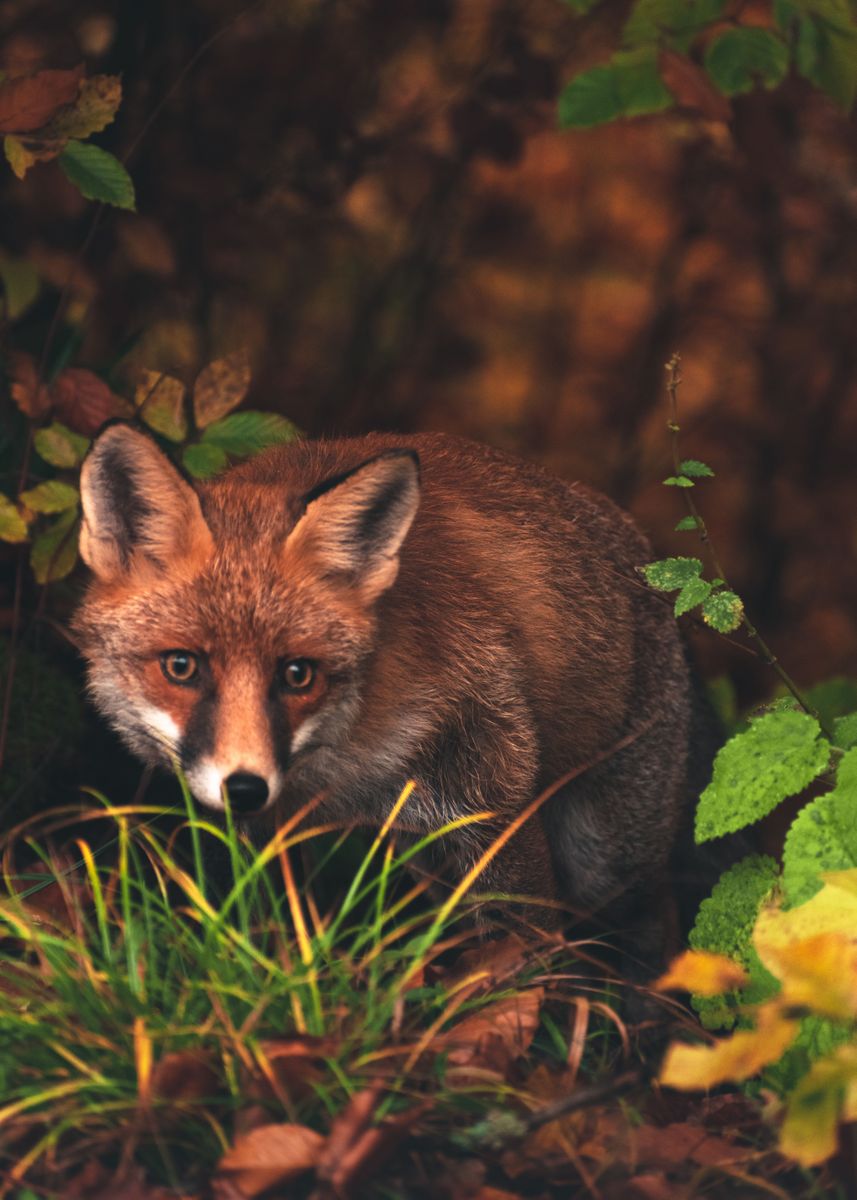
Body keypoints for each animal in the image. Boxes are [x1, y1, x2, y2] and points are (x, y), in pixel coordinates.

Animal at [73, 423, 712, 960]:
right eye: (181, 667)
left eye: (298, 674)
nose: (246, 787)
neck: (346, 762)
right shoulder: (261, 835)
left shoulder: (494, 798)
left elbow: (525, 950)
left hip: (607, 857)